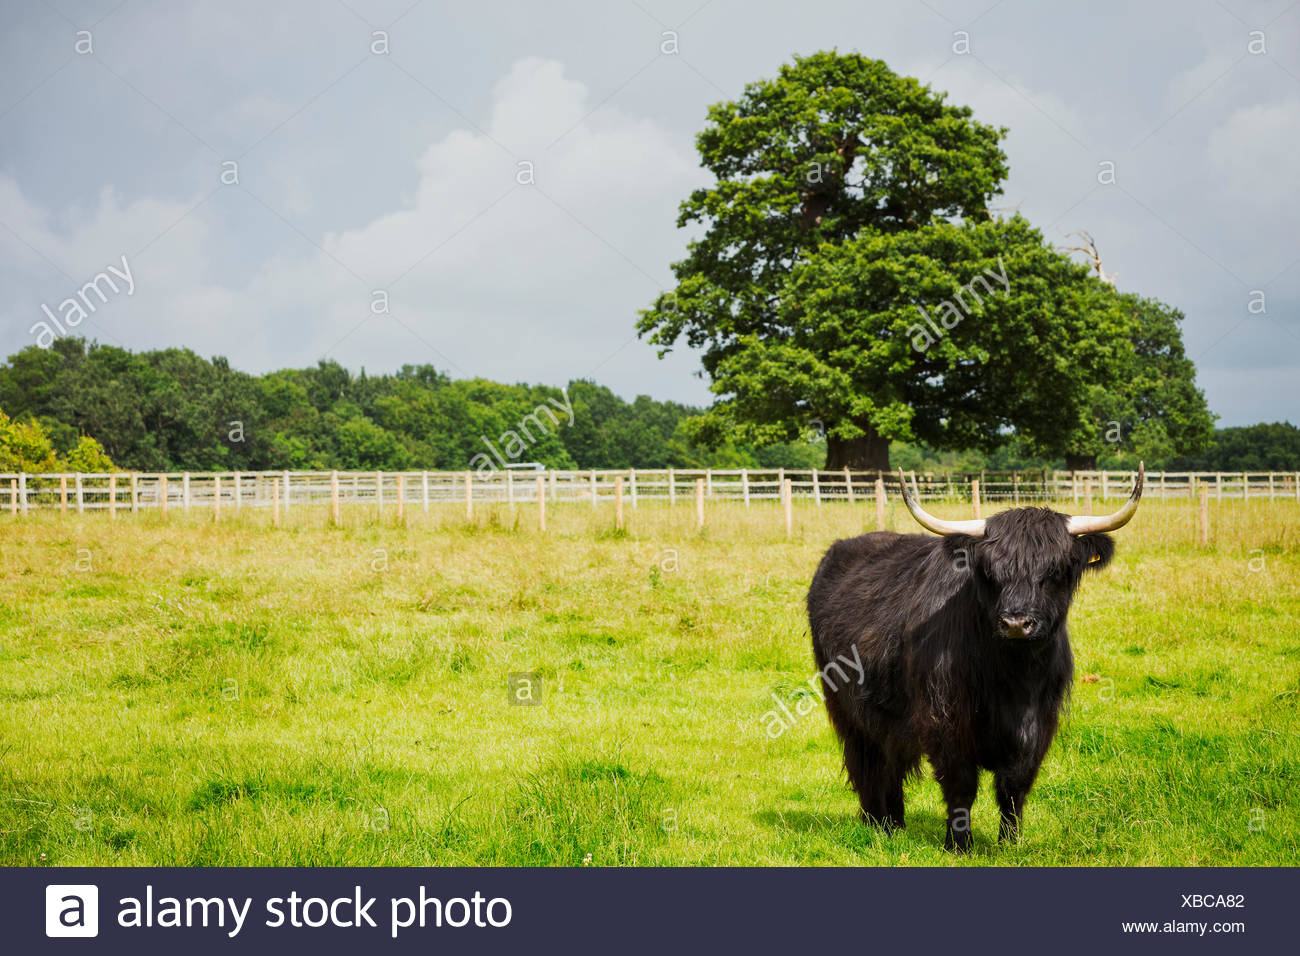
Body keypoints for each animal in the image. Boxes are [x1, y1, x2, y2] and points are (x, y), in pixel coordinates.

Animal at [807, 465, 1143, 851]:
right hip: (846, 707)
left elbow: (1014, 786)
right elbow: (961, 784)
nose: (1016, 623)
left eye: (1055, 572)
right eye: (991, 572)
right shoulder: (946, 721)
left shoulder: (1038, 723)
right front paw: (959, 844)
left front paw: (1010, 843)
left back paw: (895, 824)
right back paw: (878, 824)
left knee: (889, 762)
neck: (1013, 676)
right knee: (868, 761)